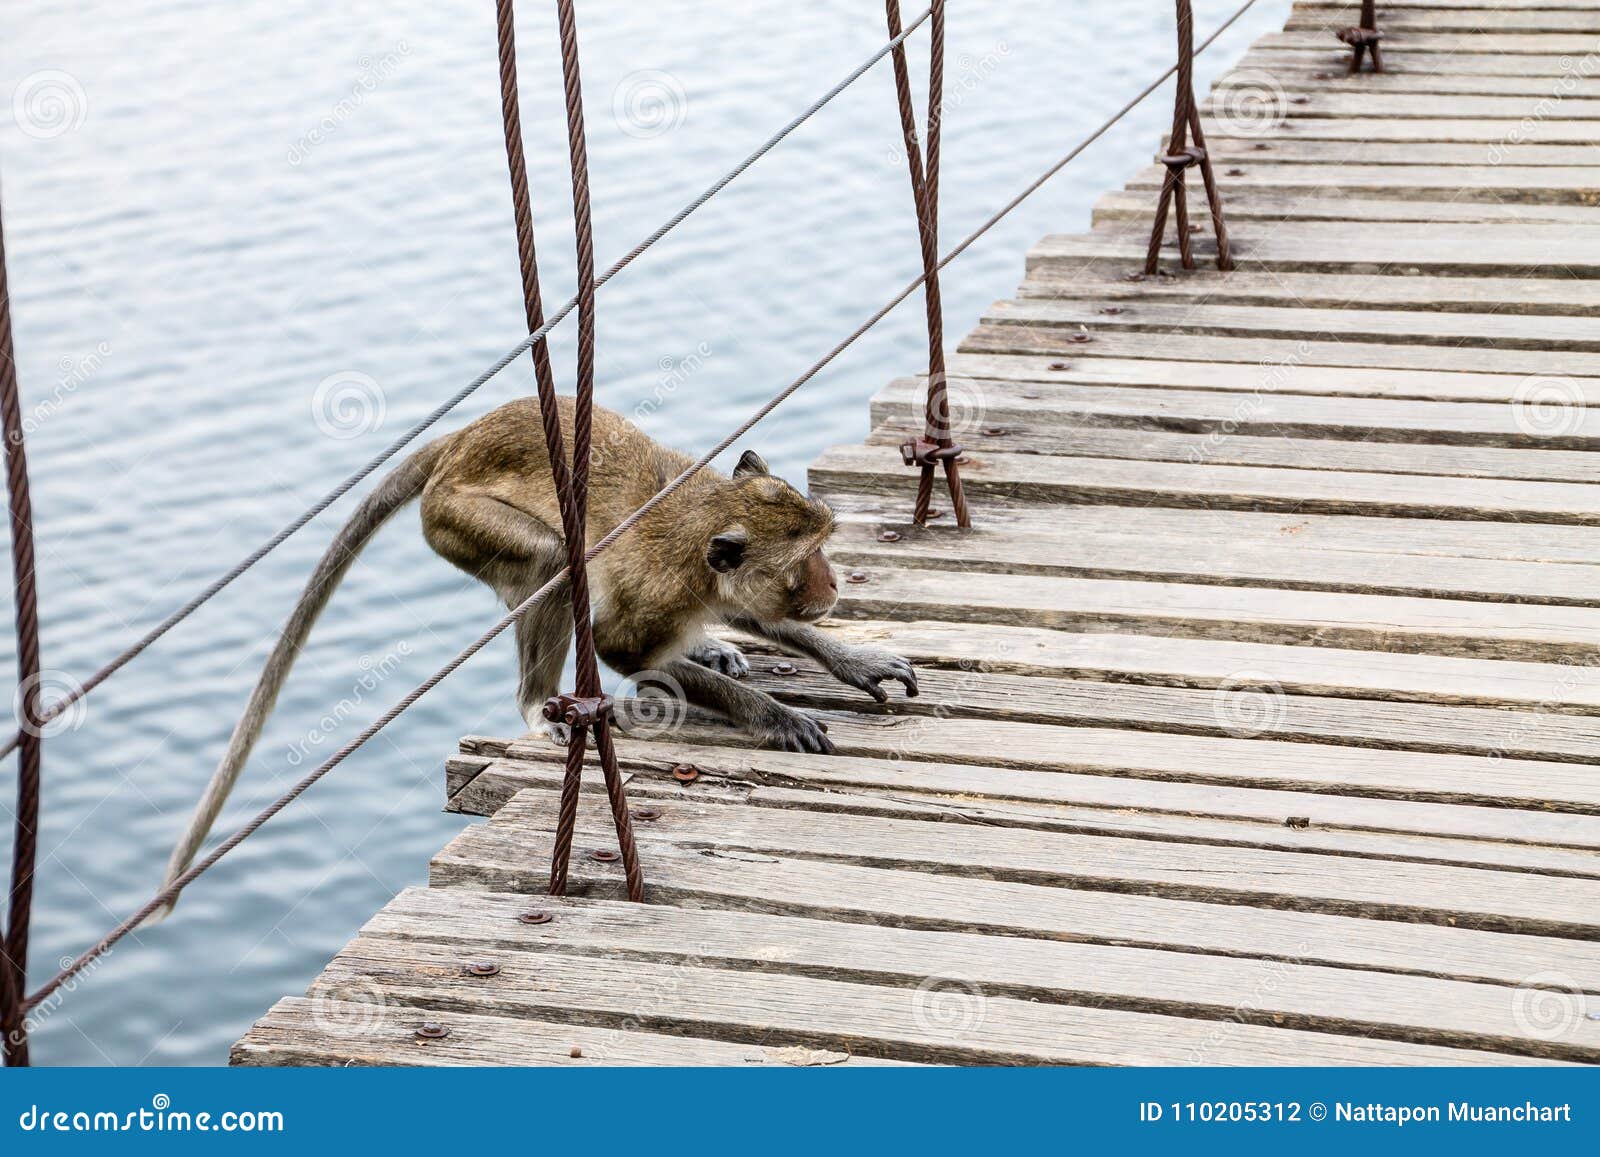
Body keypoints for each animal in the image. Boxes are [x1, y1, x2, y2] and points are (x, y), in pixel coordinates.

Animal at [152, 395, 918, 916]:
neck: (703, 522)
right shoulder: (661, 591)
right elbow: (620, 648)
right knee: (551, 558)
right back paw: (538, 706)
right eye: (804, 562)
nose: (832, 584)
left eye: (822, 548)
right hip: (456, 520)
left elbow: (755, 616)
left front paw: (850, 659)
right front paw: (772, 714)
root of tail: (462, 438)